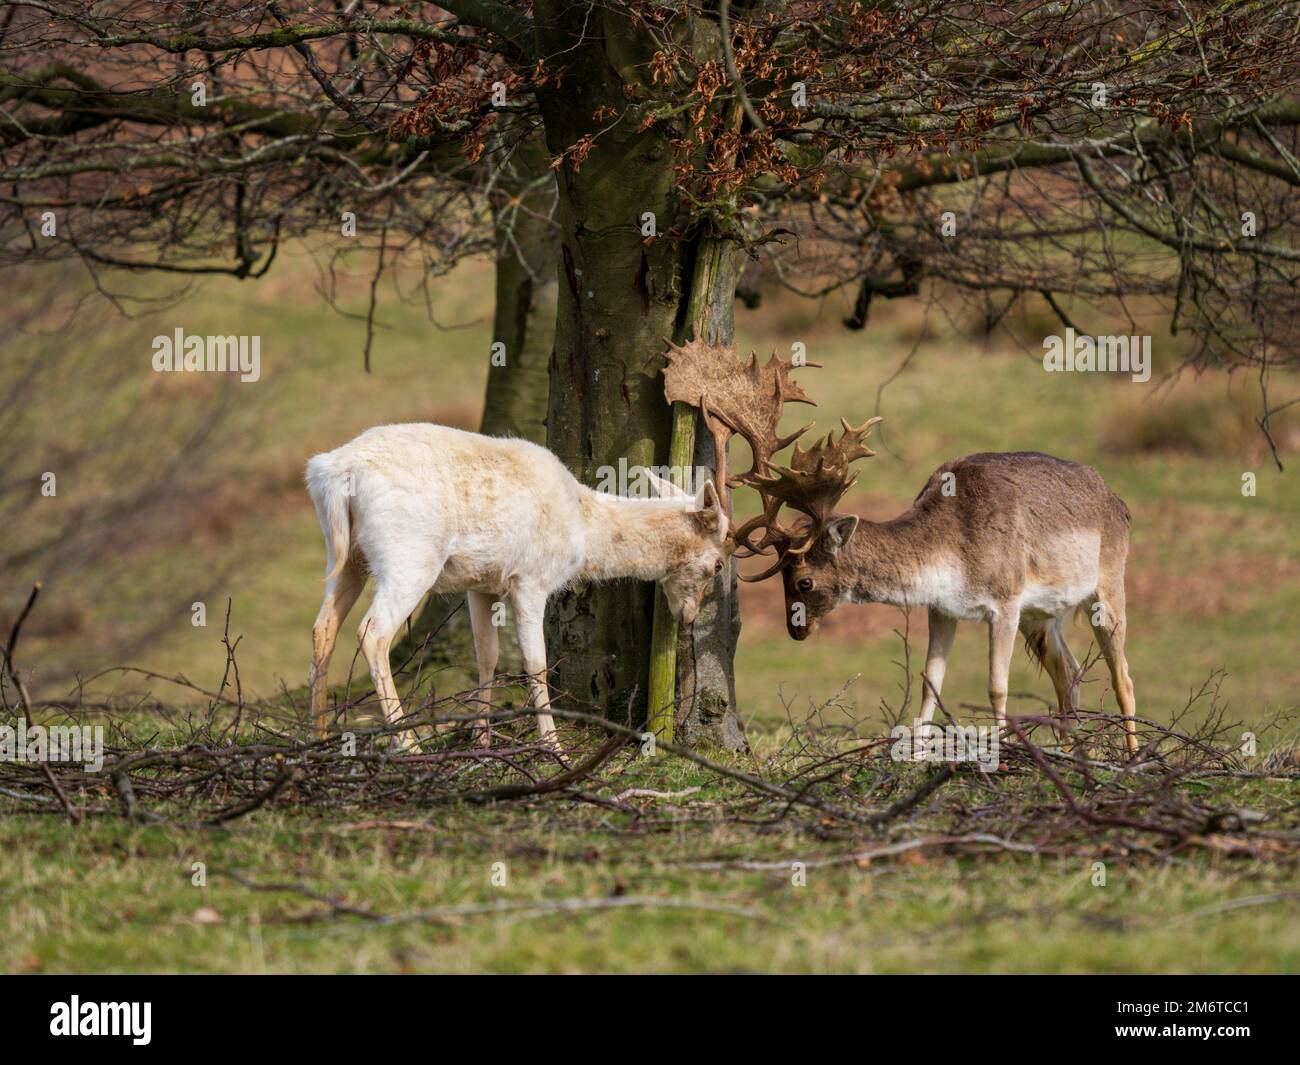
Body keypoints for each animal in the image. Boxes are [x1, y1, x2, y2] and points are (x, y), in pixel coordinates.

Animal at [305, 423, 729, 751]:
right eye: (718, 564)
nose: (689, 616)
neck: (583, 528)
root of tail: (333, 471)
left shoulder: (481, 584)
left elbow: (487, 656)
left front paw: (482, 741)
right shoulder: (531, 580)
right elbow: (536, 663)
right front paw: (553, 745)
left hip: (343, 555)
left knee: (323, 627)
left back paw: (317, 736)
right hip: (408, 557)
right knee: (372, 632)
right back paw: (408, 743)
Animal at [659, 339, 1139, 757]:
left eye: (804, 580)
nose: (796, 630)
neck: (955, 550)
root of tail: (1119, 502)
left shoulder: (1005, 600)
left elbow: (996, 686)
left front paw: (999, 754)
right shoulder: (943, 609)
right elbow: (930, 682)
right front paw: (914, 751)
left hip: (1108, 581)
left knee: (1123, 676)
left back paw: (1132, 757)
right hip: (1043, 614)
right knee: (1070, 671)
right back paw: (1075, 751)